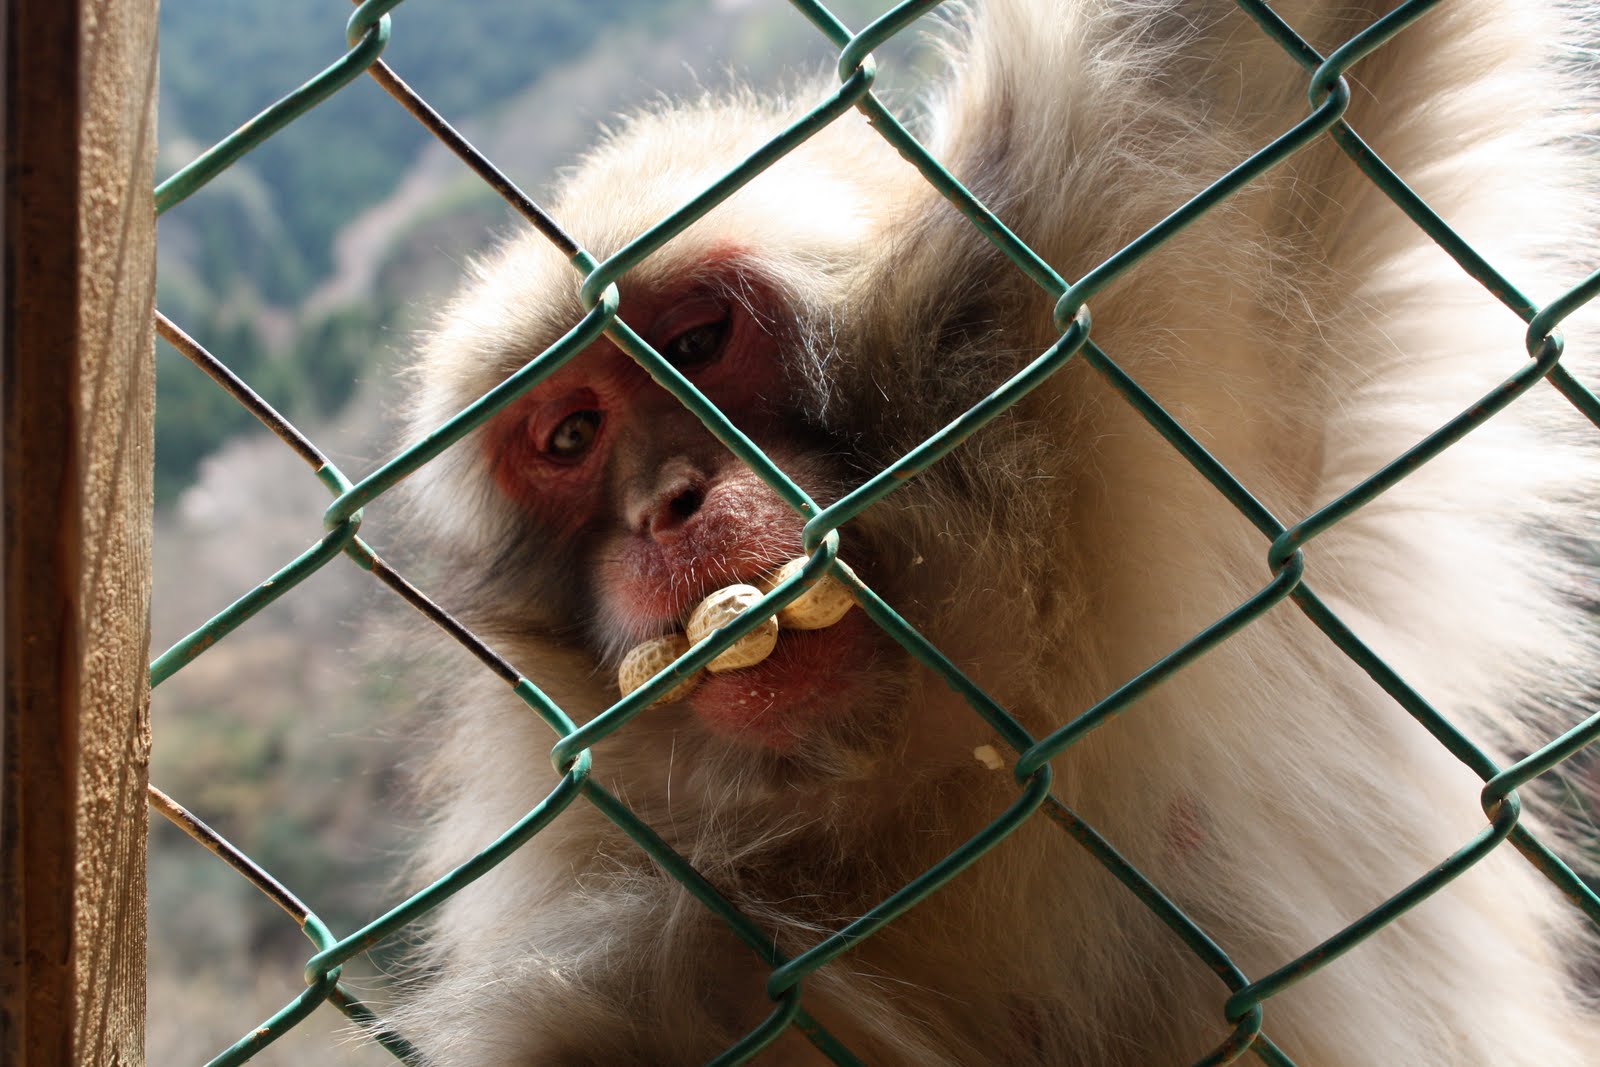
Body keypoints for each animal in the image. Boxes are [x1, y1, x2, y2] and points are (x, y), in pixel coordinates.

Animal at [387, 0, 1600, 1063]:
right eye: (571, 435)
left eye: (693, 343)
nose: (665, 503)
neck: (922, 756)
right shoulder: (584, 873)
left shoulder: (1100, 276)